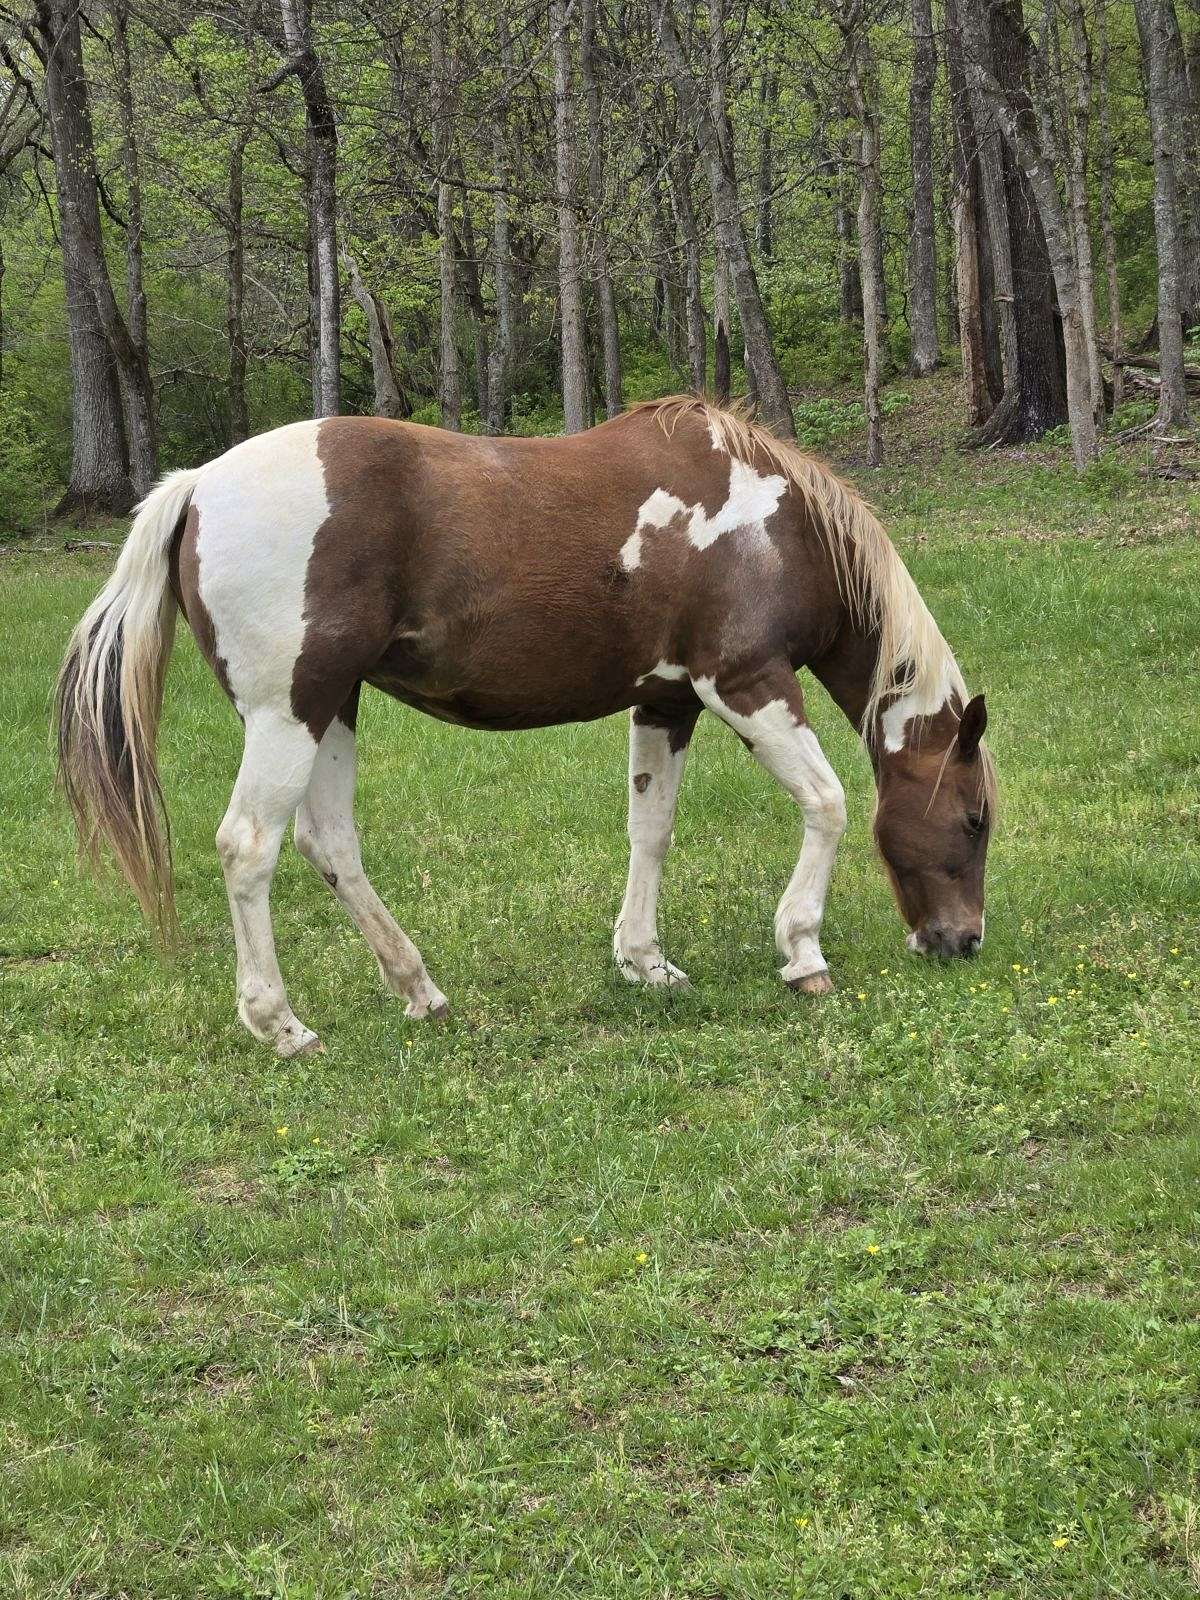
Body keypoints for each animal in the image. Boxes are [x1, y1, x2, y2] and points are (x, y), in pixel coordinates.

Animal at [56, 397, 993, 1057]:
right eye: (976, 819)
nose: (962, 942)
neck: (773, 527)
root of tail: (199, 483)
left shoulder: (668, 702)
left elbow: (651, 830)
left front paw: (645, 962)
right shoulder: (745, 685)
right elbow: (828, 803)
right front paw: (803, 952)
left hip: (328, 706)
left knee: (330, 845)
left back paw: (419, 990)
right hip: (290, 713)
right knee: (249, 847)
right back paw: (282, 1026)